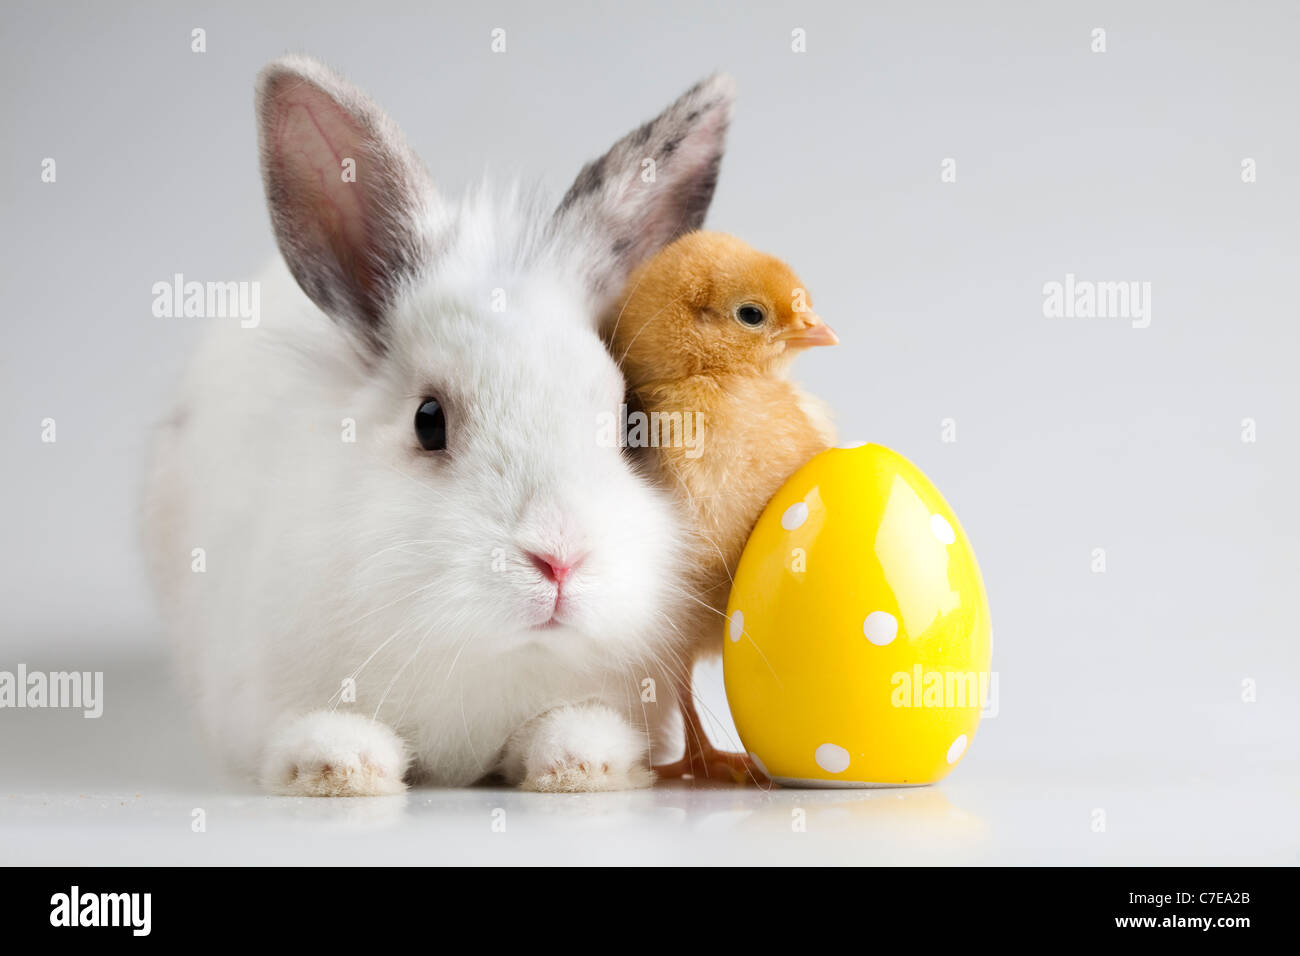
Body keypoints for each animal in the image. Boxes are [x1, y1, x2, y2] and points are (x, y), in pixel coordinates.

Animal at [143, 54, 735, 795]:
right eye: (429, 421)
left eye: (632, 421)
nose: (559, 559)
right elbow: (316, 728)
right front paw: (339, 767)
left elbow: (571, 723)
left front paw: (583, 763)